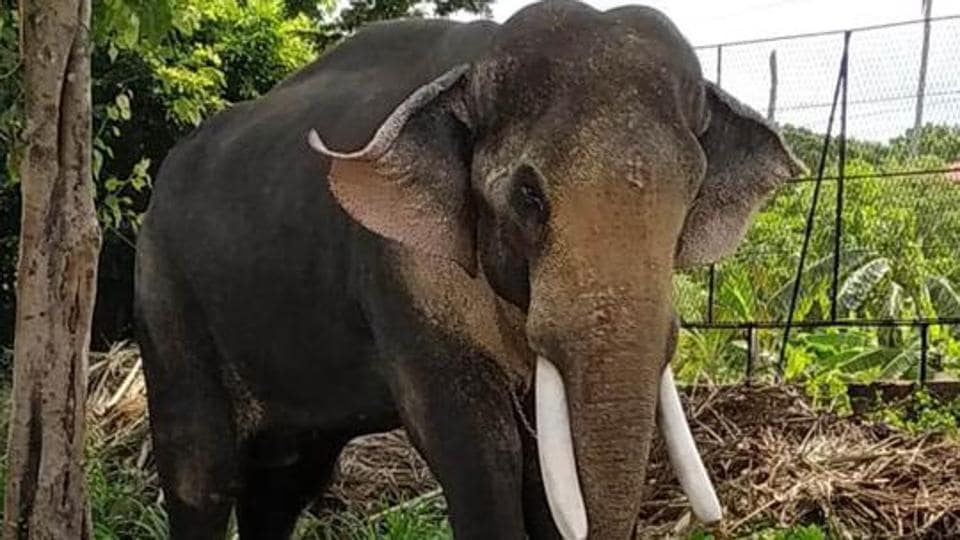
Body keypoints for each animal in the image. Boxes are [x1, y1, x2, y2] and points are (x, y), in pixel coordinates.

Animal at [134, 1, 803, 538]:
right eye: (529, 196)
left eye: (689, 197)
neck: (471, 63)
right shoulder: (401, 273)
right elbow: (479, 451)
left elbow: (542, 469)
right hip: (165, 293)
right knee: (201, 474)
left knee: (286, 480)